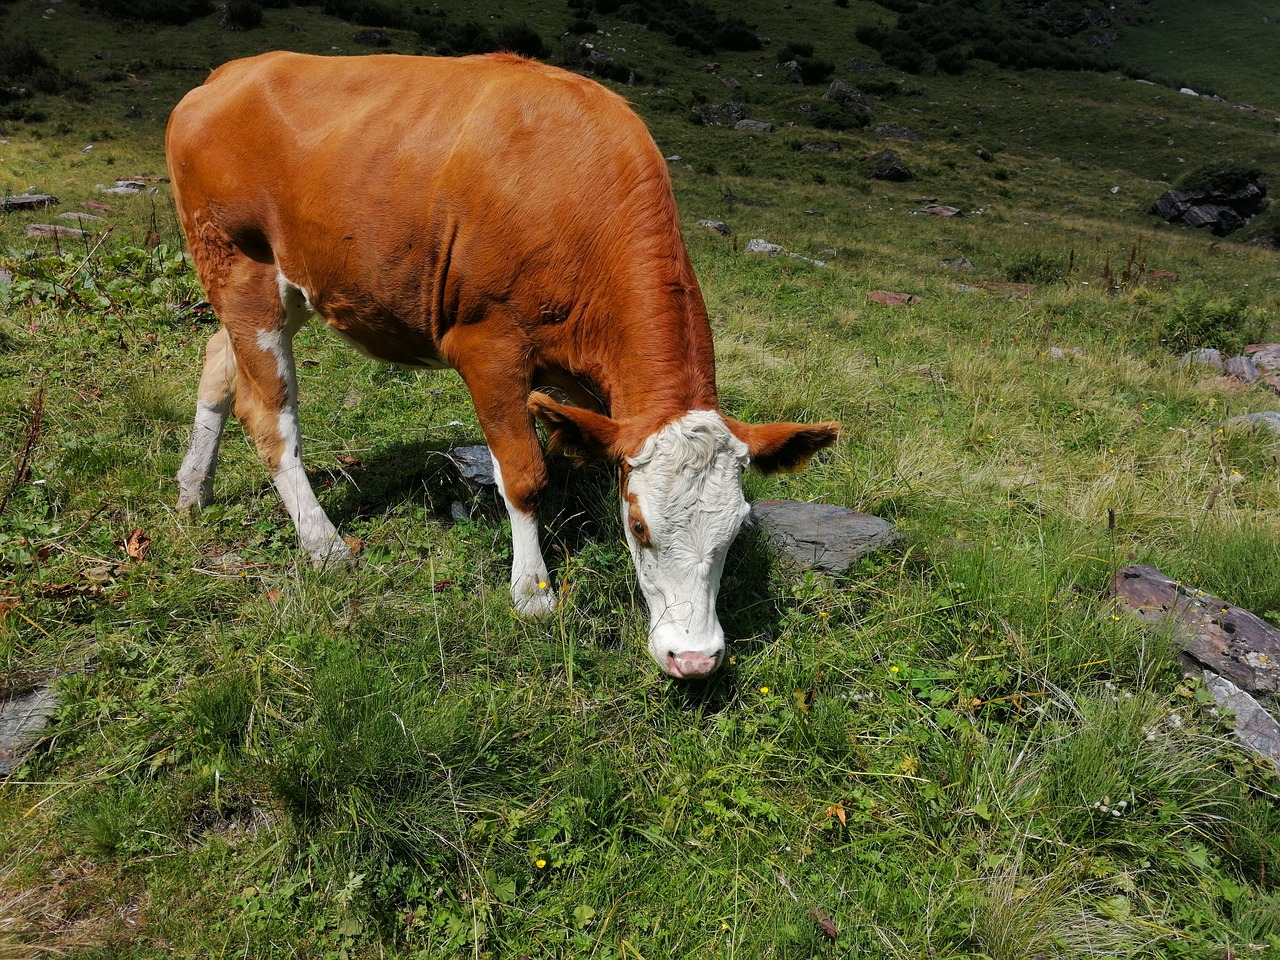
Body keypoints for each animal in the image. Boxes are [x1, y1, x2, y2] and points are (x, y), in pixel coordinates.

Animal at [166, 51, 839, 679]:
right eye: (640, 526)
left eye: (736, 530)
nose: (695, 660)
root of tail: (230, 72)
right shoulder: (487, 347)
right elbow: (523, 474)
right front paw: (532, 592)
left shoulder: (599, 391)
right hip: (240, 266)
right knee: (269, 415)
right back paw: (325, 545)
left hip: (286, 285)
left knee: (218, 366)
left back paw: (193, 490)